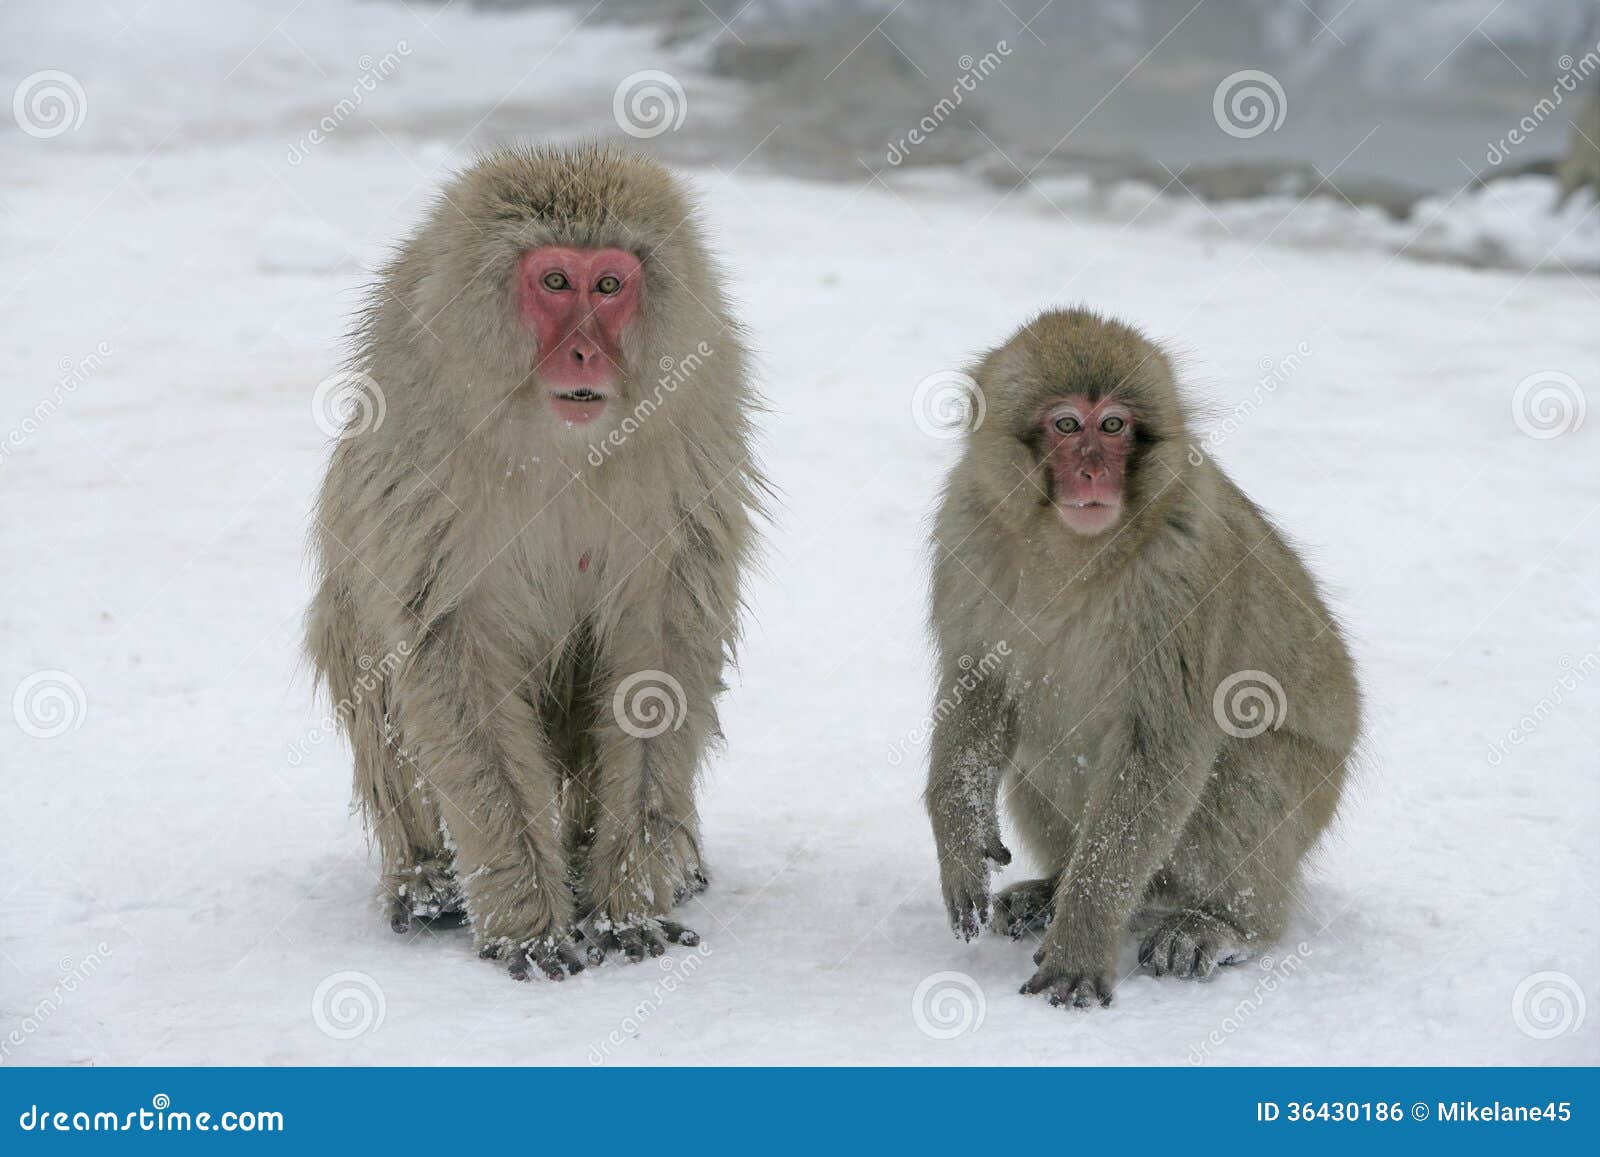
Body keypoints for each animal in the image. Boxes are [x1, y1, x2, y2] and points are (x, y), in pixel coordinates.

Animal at [305, 144, 766, 982]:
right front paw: (527, 918)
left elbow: (659, 652)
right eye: (554, 282)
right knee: (367, 660)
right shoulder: (417, 444)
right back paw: (425, 878)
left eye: (608, 285)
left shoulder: (695, 430)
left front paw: (627, 901)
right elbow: (449, 651)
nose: (582, 349)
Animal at [924, 309, 1359, 1010]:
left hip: (1308, 795)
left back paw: (1223, 925)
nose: (1093, 472)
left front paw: (1080, 948)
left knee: (1240, 770)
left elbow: (1160, 750)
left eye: (1113, 426)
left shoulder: (1184, 565)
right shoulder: (967, 528)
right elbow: (979, 688)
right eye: (1066, 425)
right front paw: (959, 833)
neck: (1072, 549)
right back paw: (1051, 891)